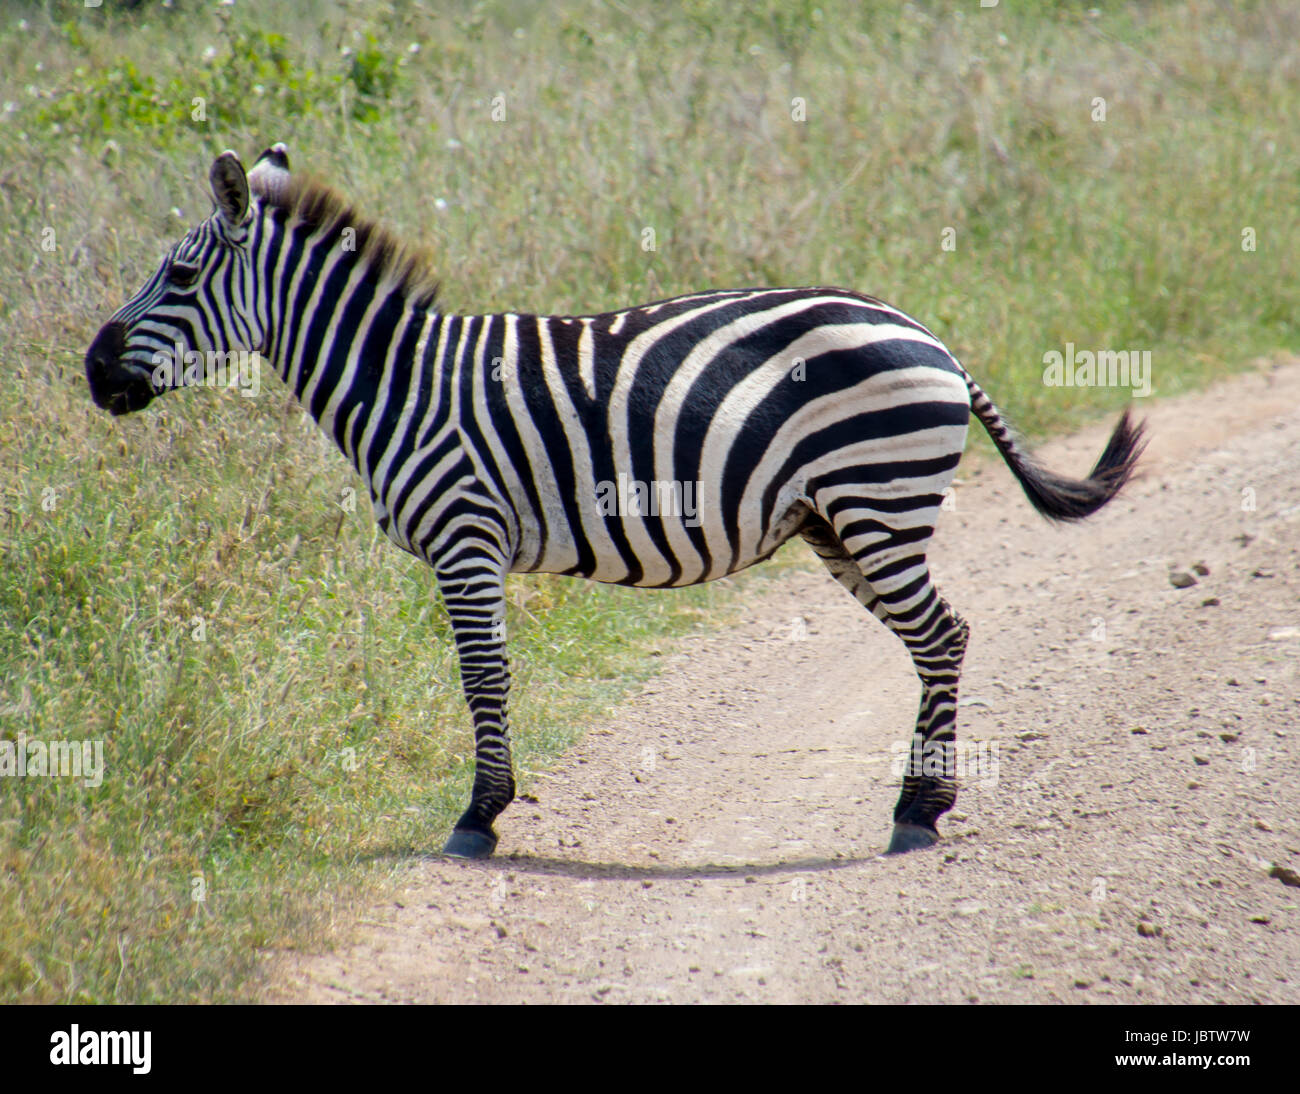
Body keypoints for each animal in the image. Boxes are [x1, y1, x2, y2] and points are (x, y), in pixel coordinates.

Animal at [85, 145, 1145, 859]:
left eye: (181, 275)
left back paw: (920, 811)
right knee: (940, 636)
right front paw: (489, 806)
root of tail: (929, 334)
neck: (401, 381)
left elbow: (483, 678)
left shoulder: (466, 538)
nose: (93, 372)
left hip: (875, 502)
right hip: (838, 522)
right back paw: (922, 803)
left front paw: (481, 815)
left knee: (940, 636)